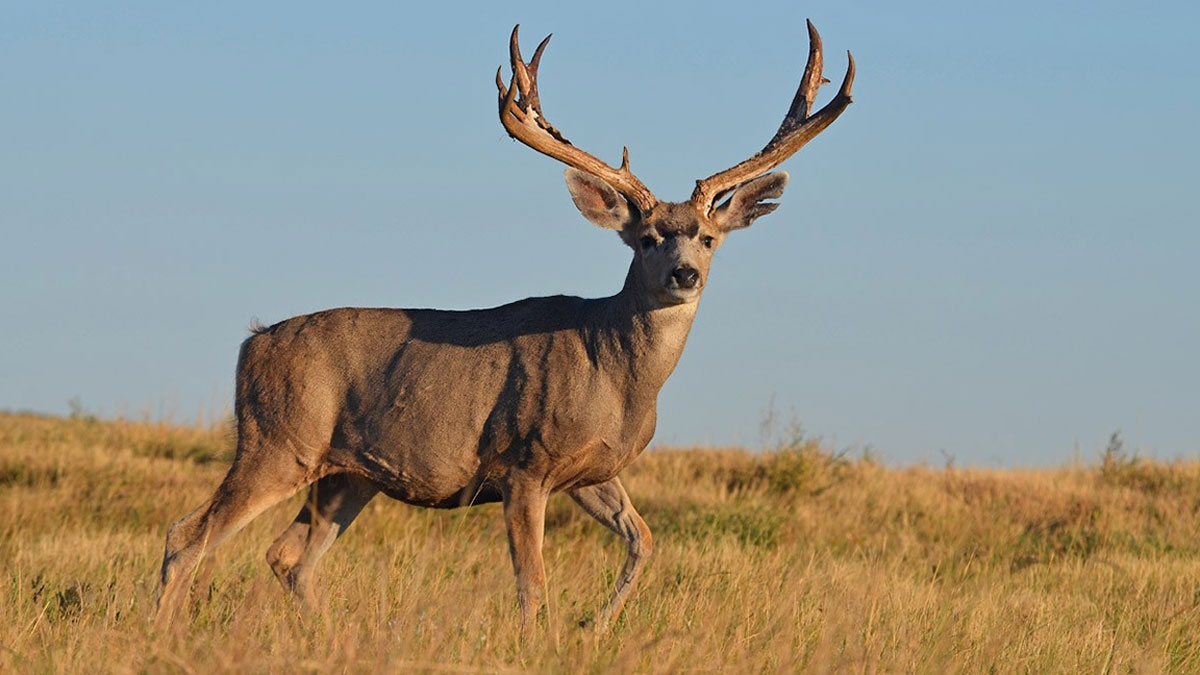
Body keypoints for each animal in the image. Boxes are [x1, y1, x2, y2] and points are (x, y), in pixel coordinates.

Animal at [155, 20, 854, 630]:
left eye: (708, 238)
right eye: (648, 238)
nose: (685, 274)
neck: (615, 371)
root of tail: (251, 343)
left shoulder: (592, 472)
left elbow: (645, 540)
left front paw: (594, 625)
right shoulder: (524, 462)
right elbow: (532, 581)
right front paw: (541, 637)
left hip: (345, 476)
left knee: (288, 558)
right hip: (278, 441)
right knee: (189, 533)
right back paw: (165, 631)